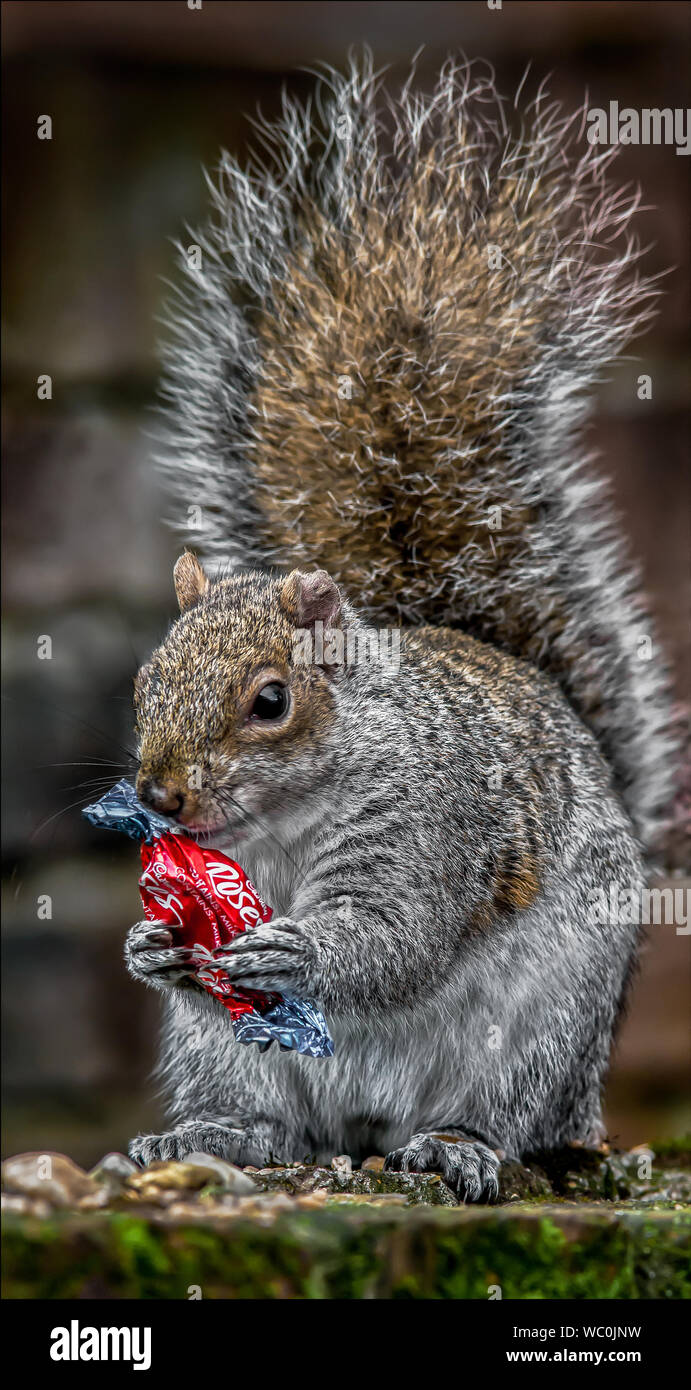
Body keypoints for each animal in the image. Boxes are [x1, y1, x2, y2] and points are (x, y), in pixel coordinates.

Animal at [125, 57, 676, 1199]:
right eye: (145, 683)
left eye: (270, 701)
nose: (158, 797)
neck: (276, 831)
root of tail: (369, 1123)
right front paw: (146, 949)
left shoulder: (432, 826)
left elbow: (395, 937)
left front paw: (297, 953)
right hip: (228, 1052)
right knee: (279, 1128)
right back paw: (212, 1137)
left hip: (535, 1036)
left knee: (501, 1118)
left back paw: (456, 1146)